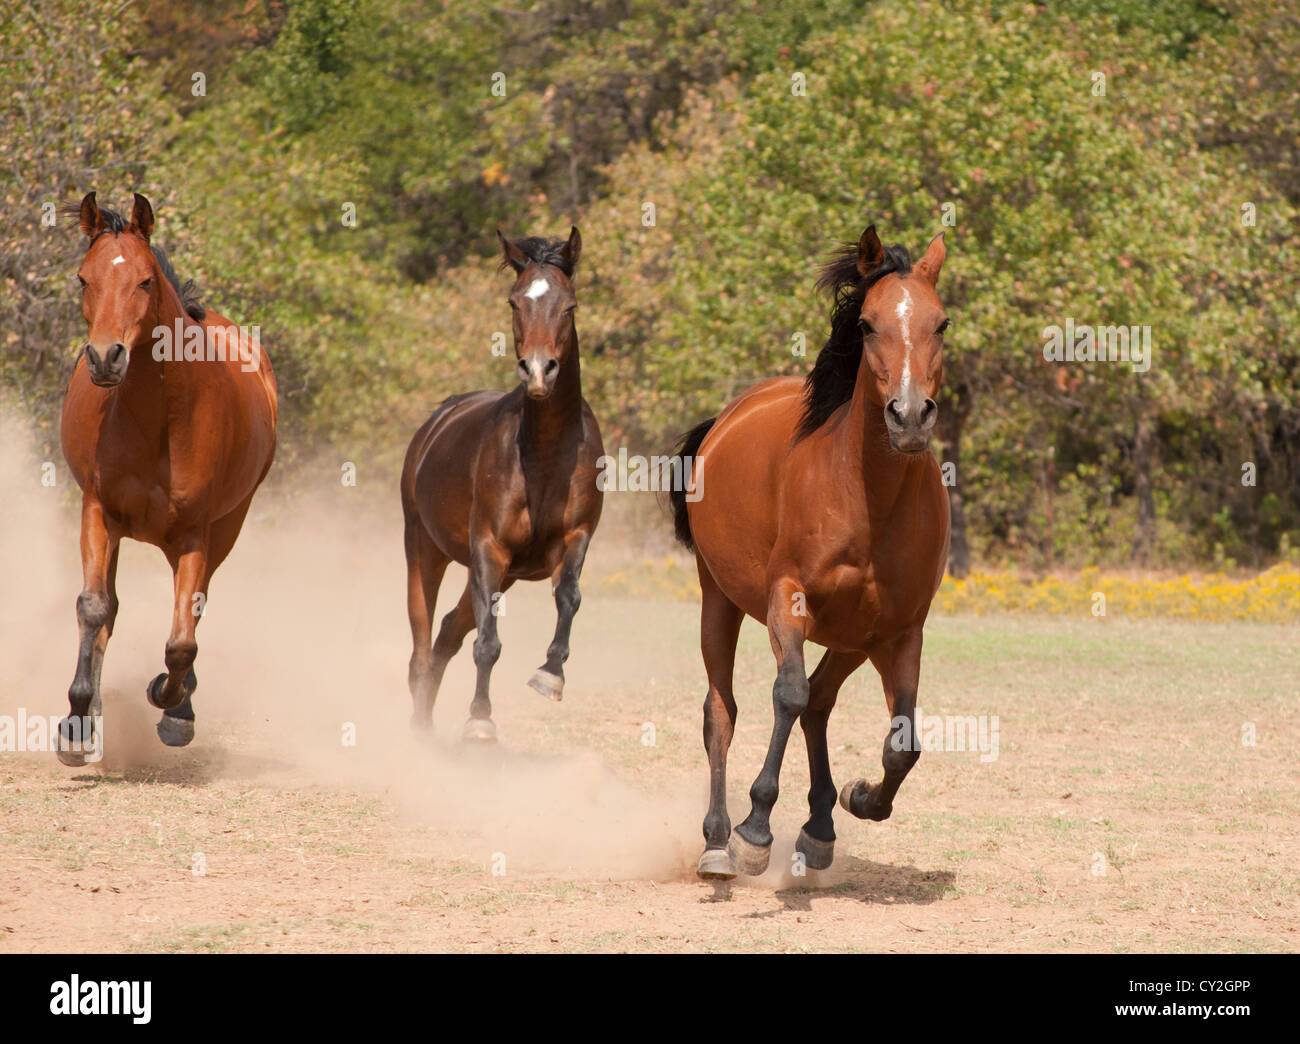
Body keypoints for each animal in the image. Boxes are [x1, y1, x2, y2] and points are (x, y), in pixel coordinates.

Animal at [56, 192, 277, 765]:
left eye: (144, 281)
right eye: (84, 278)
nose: (105, 358)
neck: (158, 419)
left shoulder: (197, 532)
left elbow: (181, 637)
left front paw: (170, 702)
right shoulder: (98, 511)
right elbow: (94, 607)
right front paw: (76, 723)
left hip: (226, 527)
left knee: (195, 611)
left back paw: (179, 703)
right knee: (110, 607)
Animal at [399, 227, 603, 742]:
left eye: (569, 306)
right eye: (515, 301)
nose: (538, 371)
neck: (545, 455)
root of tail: (439, 418)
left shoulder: (574, 538)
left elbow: (569, 596)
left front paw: (550, 675)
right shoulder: (488, 546)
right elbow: (488, 641)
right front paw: (480, 719)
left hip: (502, 570)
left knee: (448, 633)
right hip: (424, 548)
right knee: (423, 638)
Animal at [669, 224, 951, 879]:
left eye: (942, 324)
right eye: (867, 324)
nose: (910, 418)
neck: (868, 498)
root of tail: (727, 415)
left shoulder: (900, 631)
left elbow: (903, 742)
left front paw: (861, 798)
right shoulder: (787, 599)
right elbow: (787, 694)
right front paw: (753, 830)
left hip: (851, 637)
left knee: (821, 704)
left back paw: (820, 827)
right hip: (718, 600)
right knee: (723, 712)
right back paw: (717, 841)